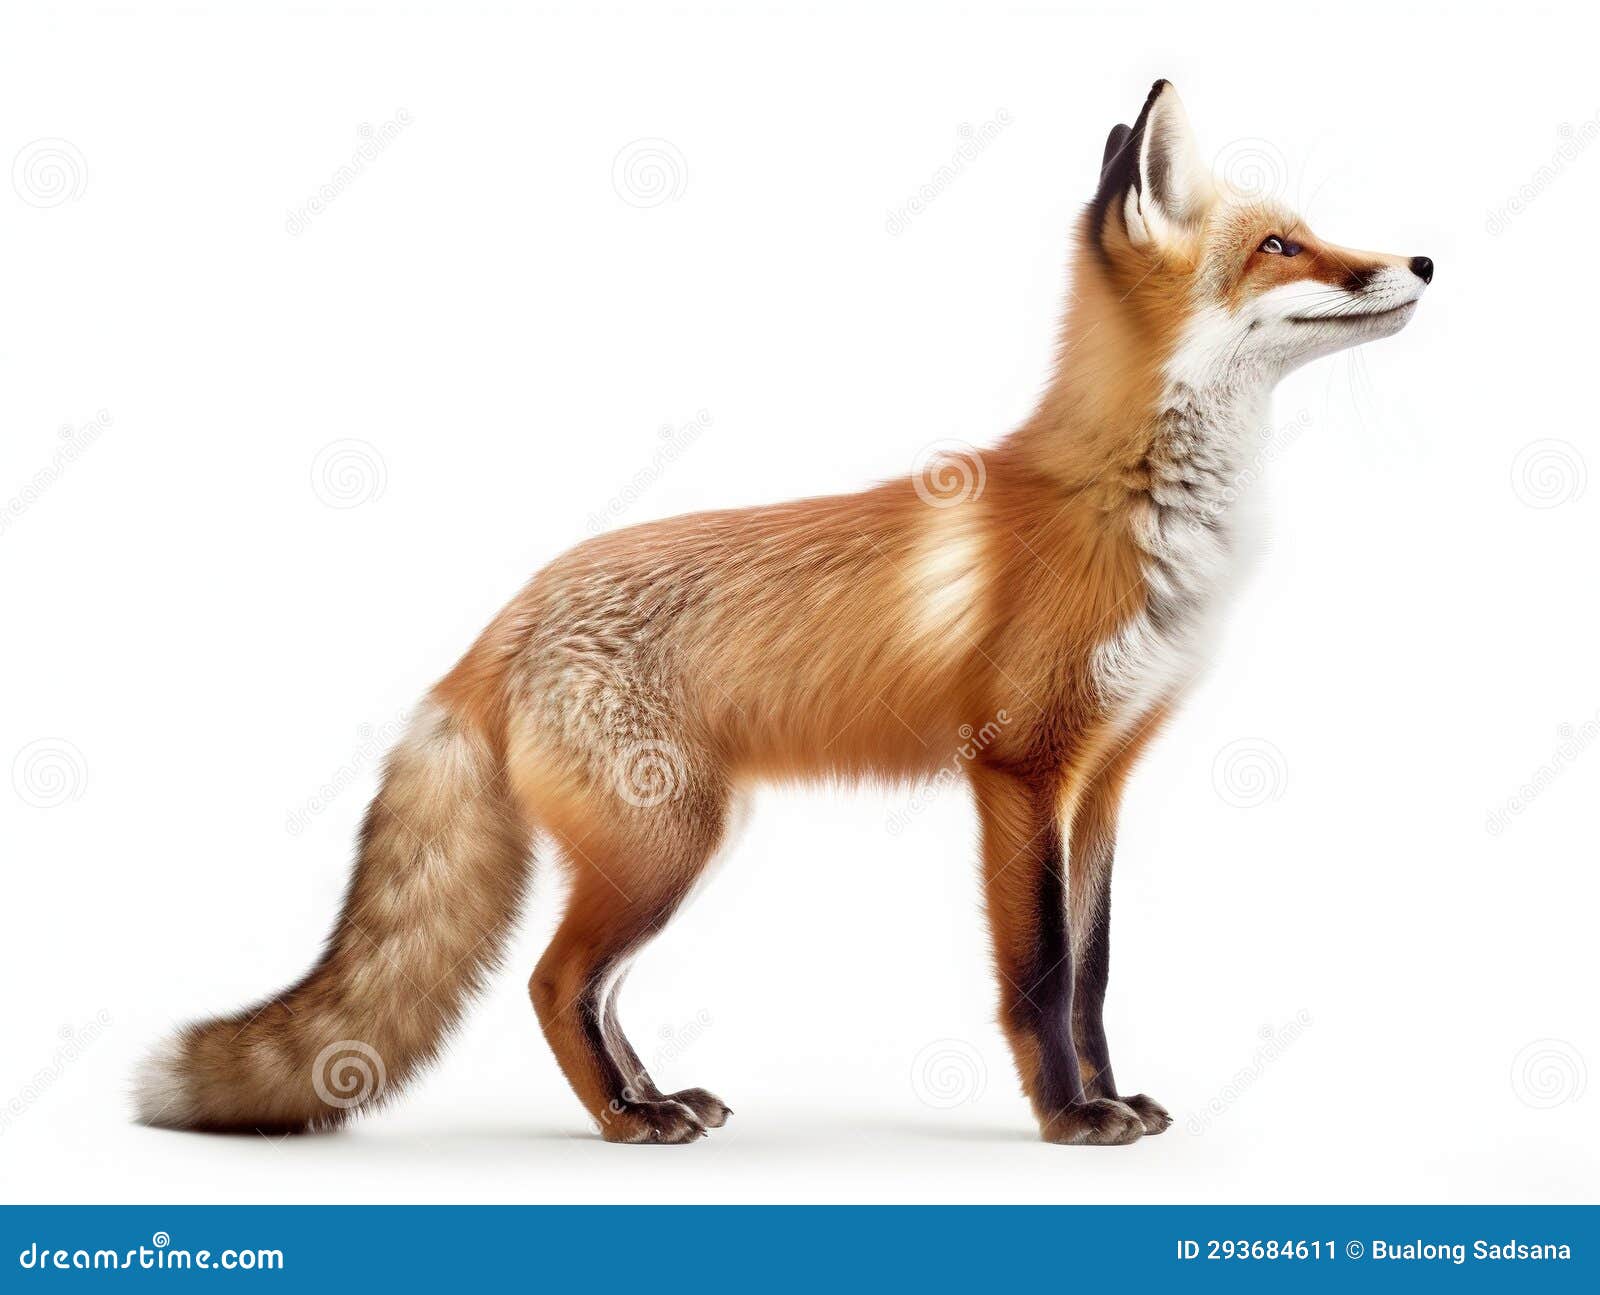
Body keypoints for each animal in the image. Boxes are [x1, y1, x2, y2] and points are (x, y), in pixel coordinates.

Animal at [135, 80, 1430, 1146]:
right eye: (1279, 246)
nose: (1420, 258)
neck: (1131, 502)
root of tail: (497, 625)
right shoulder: (1018, 769)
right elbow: (1038, 974)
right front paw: (1069, 1118)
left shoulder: (1105, 774)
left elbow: (1096, 970)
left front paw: (1111, 1096)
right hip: (666, 843)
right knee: (551, 982)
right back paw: (626, 1121)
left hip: (676, 844)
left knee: (592, 987)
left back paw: (654, 1096)